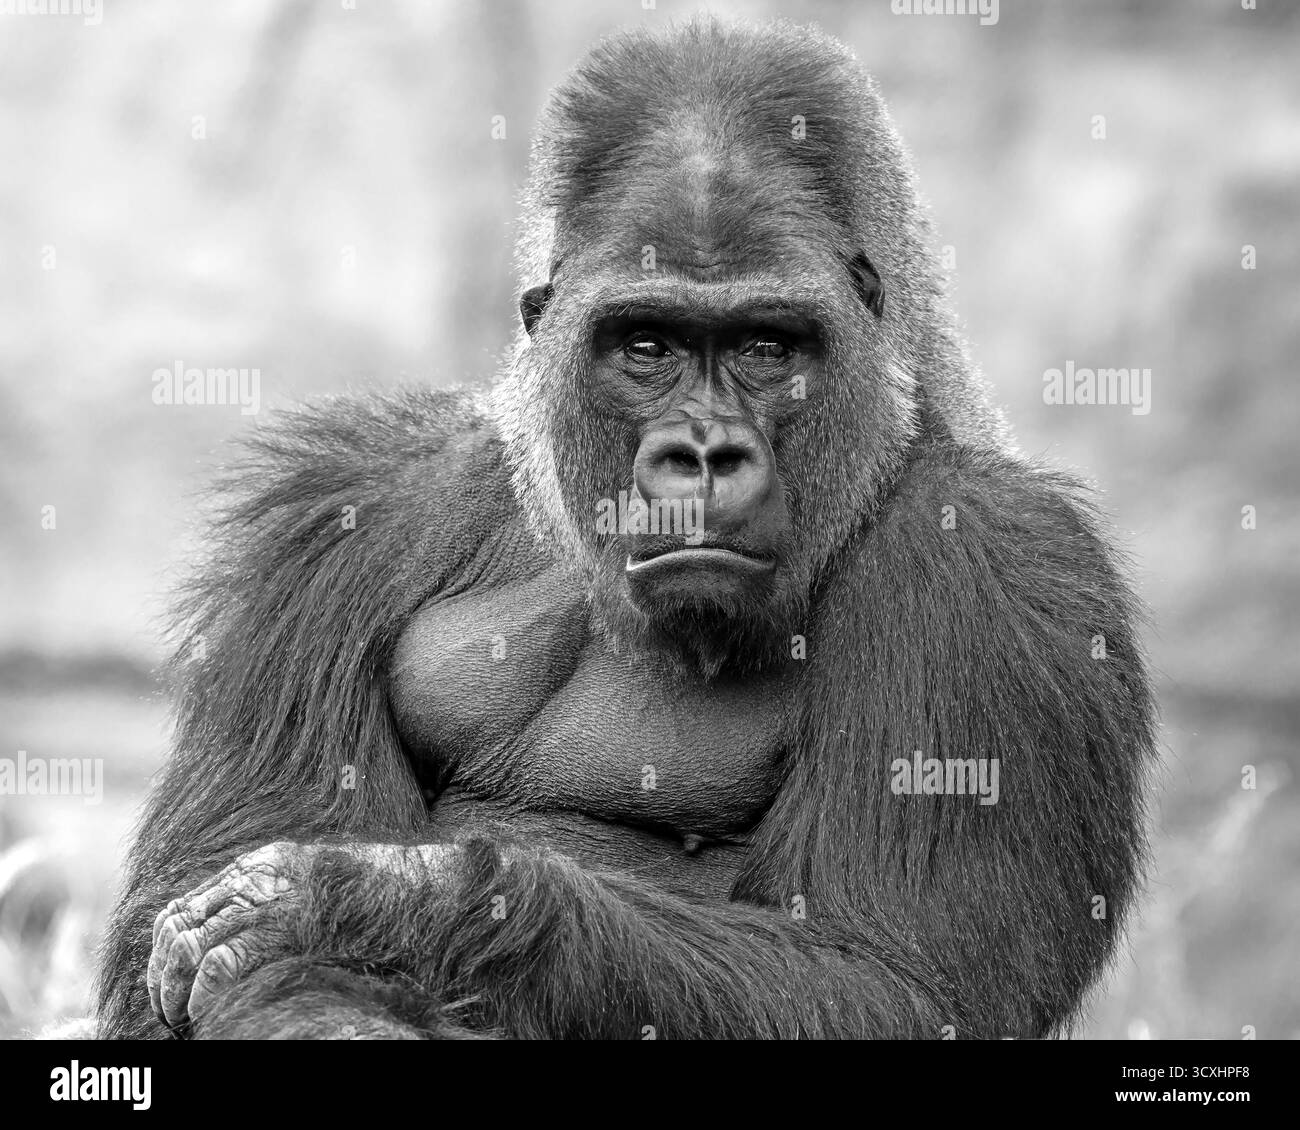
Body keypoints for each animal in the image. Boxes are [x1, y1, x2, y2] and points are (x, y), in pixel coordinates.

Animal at [95, 18, 1155, 1040]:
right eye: (646, 345)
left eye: (767, 346)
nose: (701, 453)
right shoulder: (339, 516)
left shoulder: (993, 561)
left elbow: (896, 983)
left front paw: (373, 899)